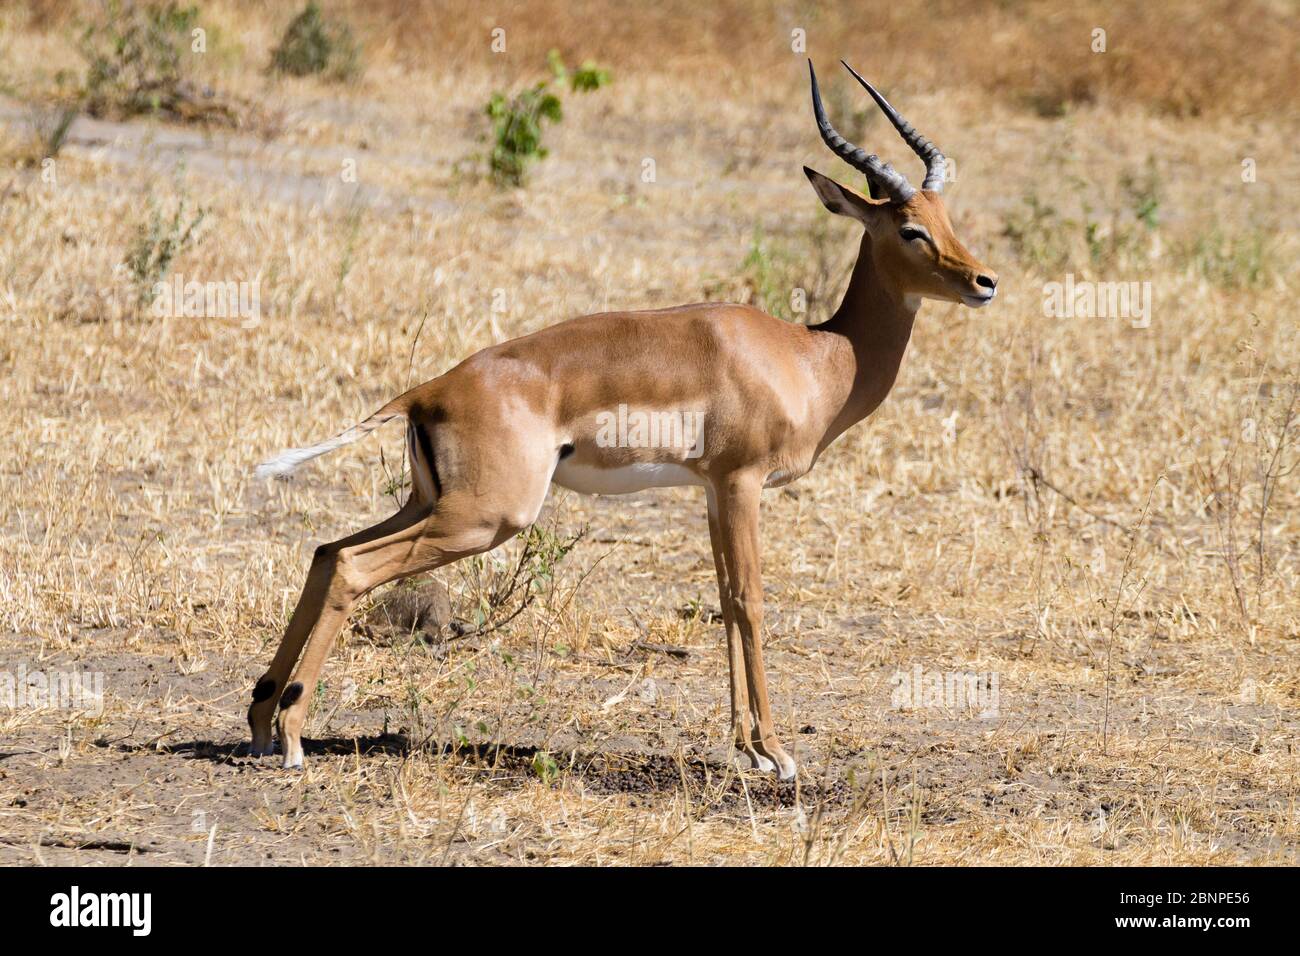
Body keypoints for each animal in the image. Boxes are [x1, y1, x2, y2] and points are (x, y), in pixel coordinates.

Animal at [247, 61, 998, 777]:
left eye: (949, 217)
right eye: (910, 229)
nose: (984, 281)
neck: (813, 356)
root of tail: (428, 389)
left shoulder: (711, 490)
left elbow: (724, 599)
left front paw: (747, 748)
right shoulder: (742, 483)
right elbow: (751, 599)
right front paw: (778, 754)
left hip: (430, 504)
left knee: (327, 551)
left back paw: (260, 722)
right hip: (485, 518)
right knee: (353, 566)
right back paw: (292, 737)